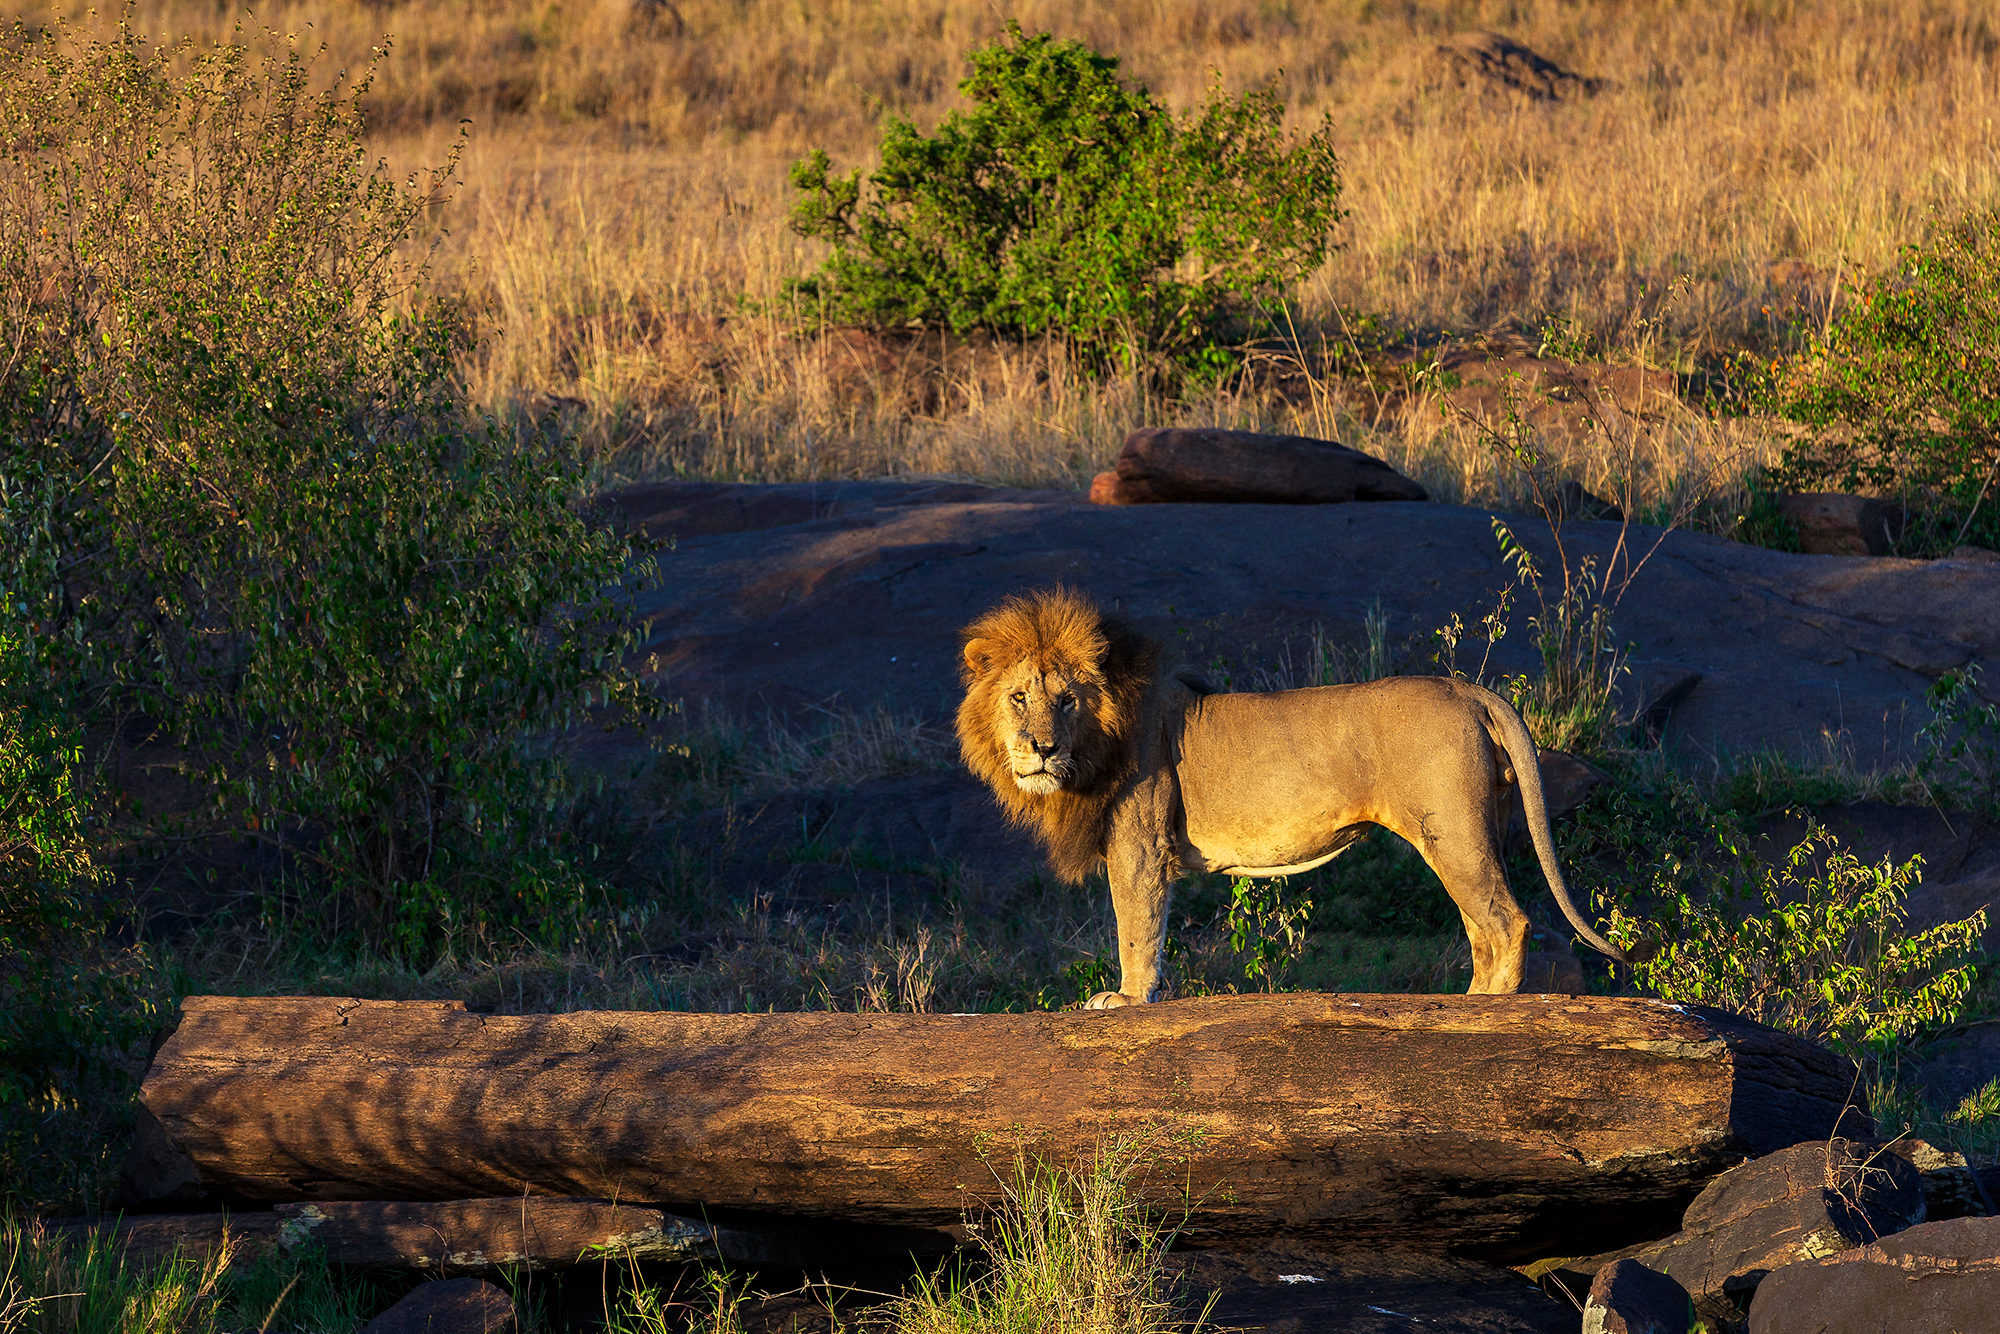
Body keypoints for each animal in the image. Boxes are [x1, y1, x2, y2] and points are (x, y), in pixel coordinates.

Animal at [956, 587, 1646, 1007]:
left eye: (1067, 699)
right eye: (1019, 697)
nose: (1042, 748)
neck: (1096, 744)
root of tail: (1465, 689)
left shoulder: (1139, 842)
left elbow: (1137, 926)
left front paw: (1124, 999)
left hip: (1452, 829)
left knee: (1507, 920)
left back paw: (1485, 1009)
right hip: (1476, 829)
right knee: (1484, 925)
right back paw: (1472, 1000)